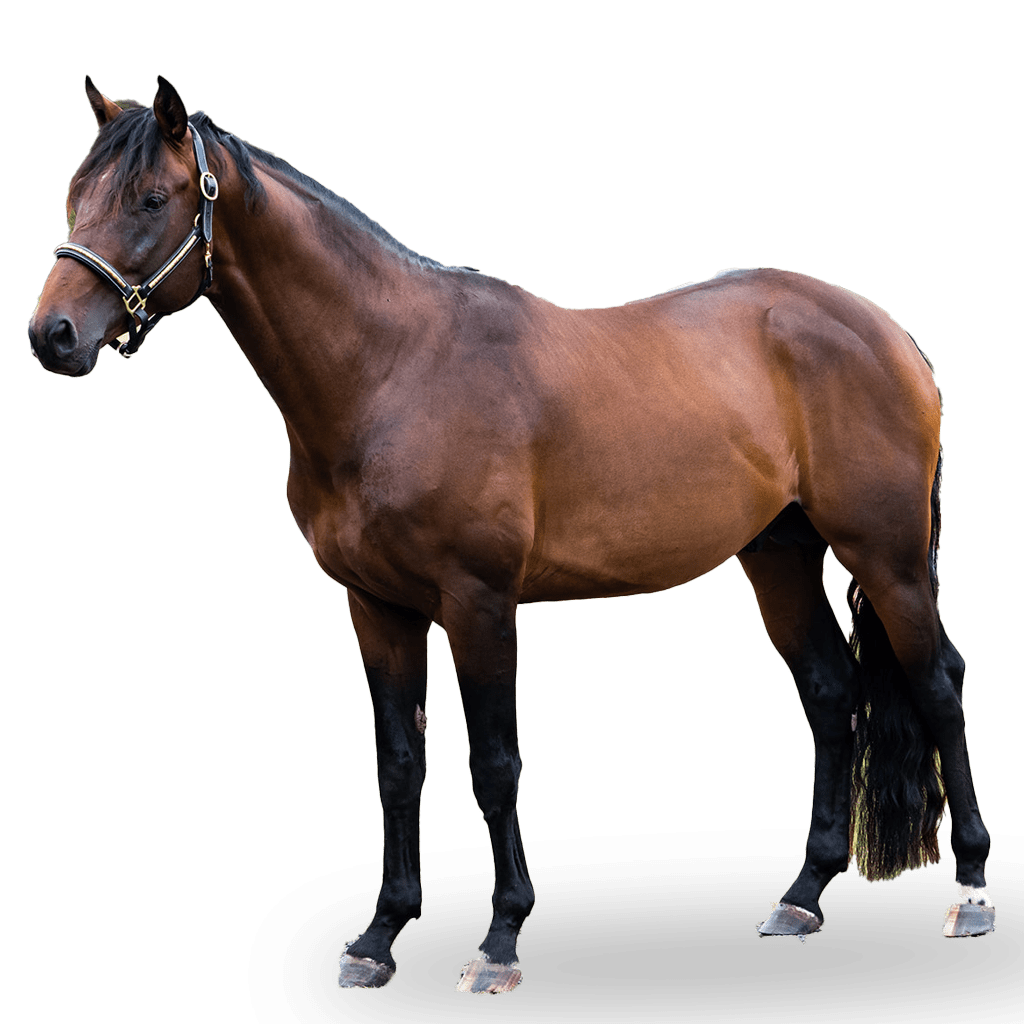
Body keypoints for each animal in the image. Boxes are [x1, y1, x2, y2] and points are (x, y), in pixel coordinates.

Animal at [28, 76, 996, 995]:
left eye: (152, 198)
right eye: (77, 194)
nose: (53, 335)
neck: (392, 369)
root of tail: (886, 333)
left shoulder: (480, 603)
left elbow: (493, 765)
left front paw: (498, 945)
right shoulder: (376, 607)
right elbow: (398, 765)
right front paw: (379, 938)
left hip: (891, 559)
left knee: (937, 687)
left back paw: (972, 891)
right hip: (779, 558)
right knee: (833, 696)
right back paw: (800, 899)